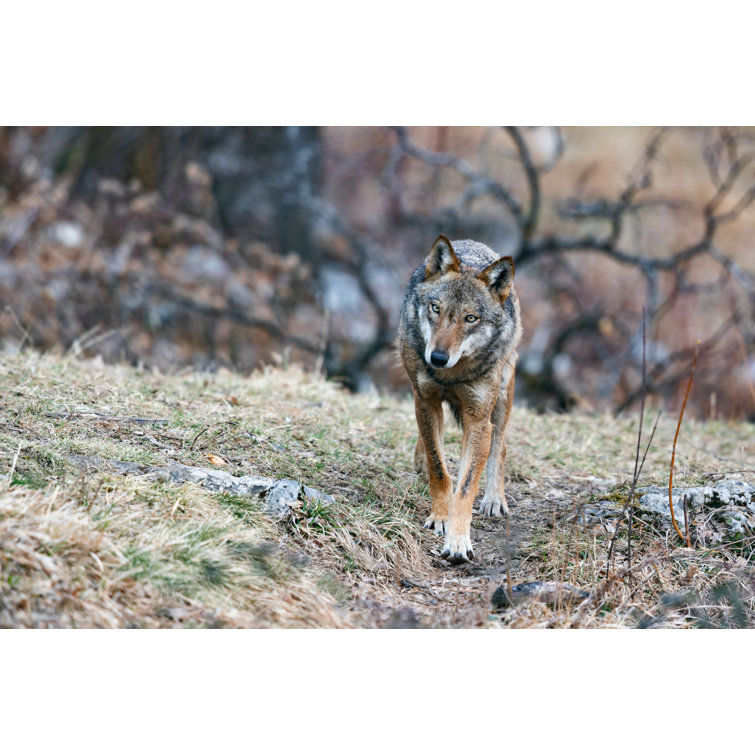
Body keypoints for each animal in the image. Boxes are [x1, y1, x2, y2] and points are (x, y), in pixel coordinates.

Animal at [398, 235, 522, 564]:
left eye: (470, 318)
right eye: (436, 308)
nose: (438, 358)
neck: (451, 375)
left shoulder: (478, 420)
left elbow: (466, 487)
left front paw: (457, 542)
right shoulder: (426, 400)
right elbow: (439, 469)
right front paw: (440, 517)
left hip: (502, 396)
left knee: (500, 446)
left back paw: (494, 499)